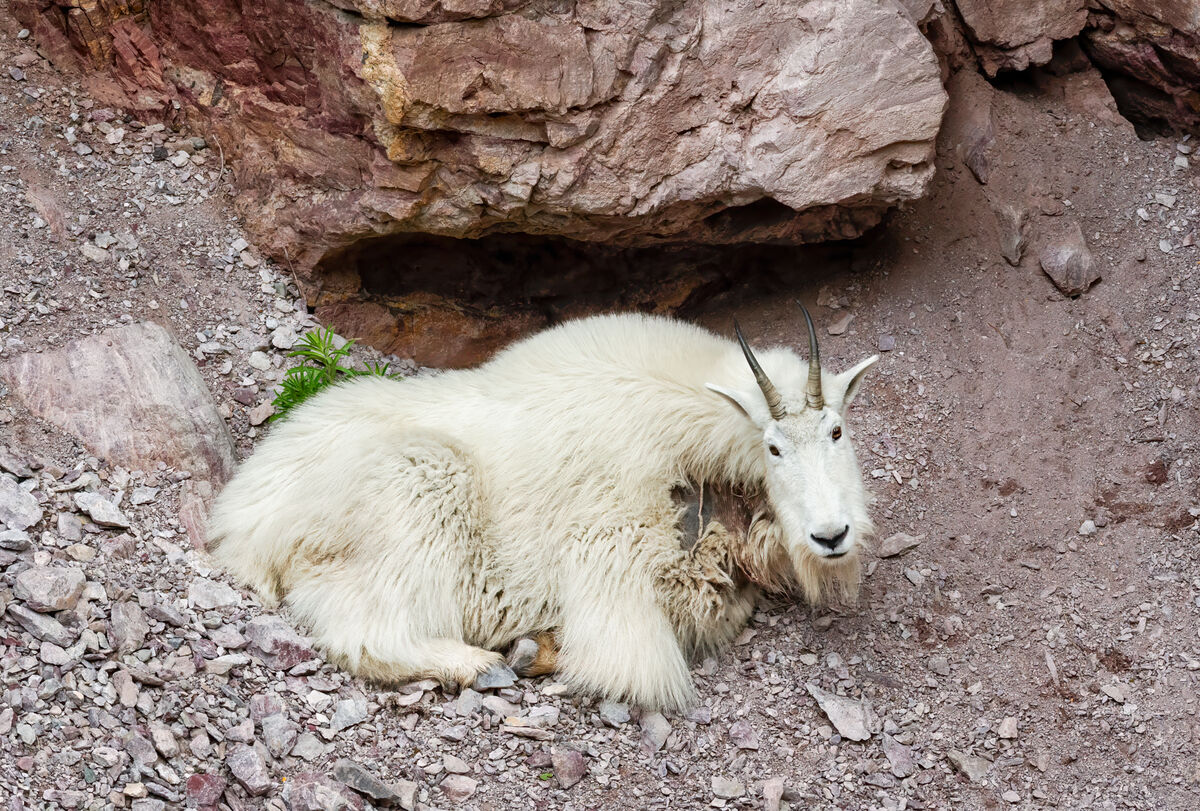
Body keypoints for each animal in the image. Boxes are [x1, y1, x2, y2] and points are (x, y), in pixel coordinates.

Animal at [207, 307, 878, 710]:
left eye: (838, 430)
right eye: (773, 446)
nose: (831, 535)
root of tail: (246, 525)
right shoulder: (612, 556)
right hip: (422, 484)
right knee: (366, 629)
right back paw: (477, 661)